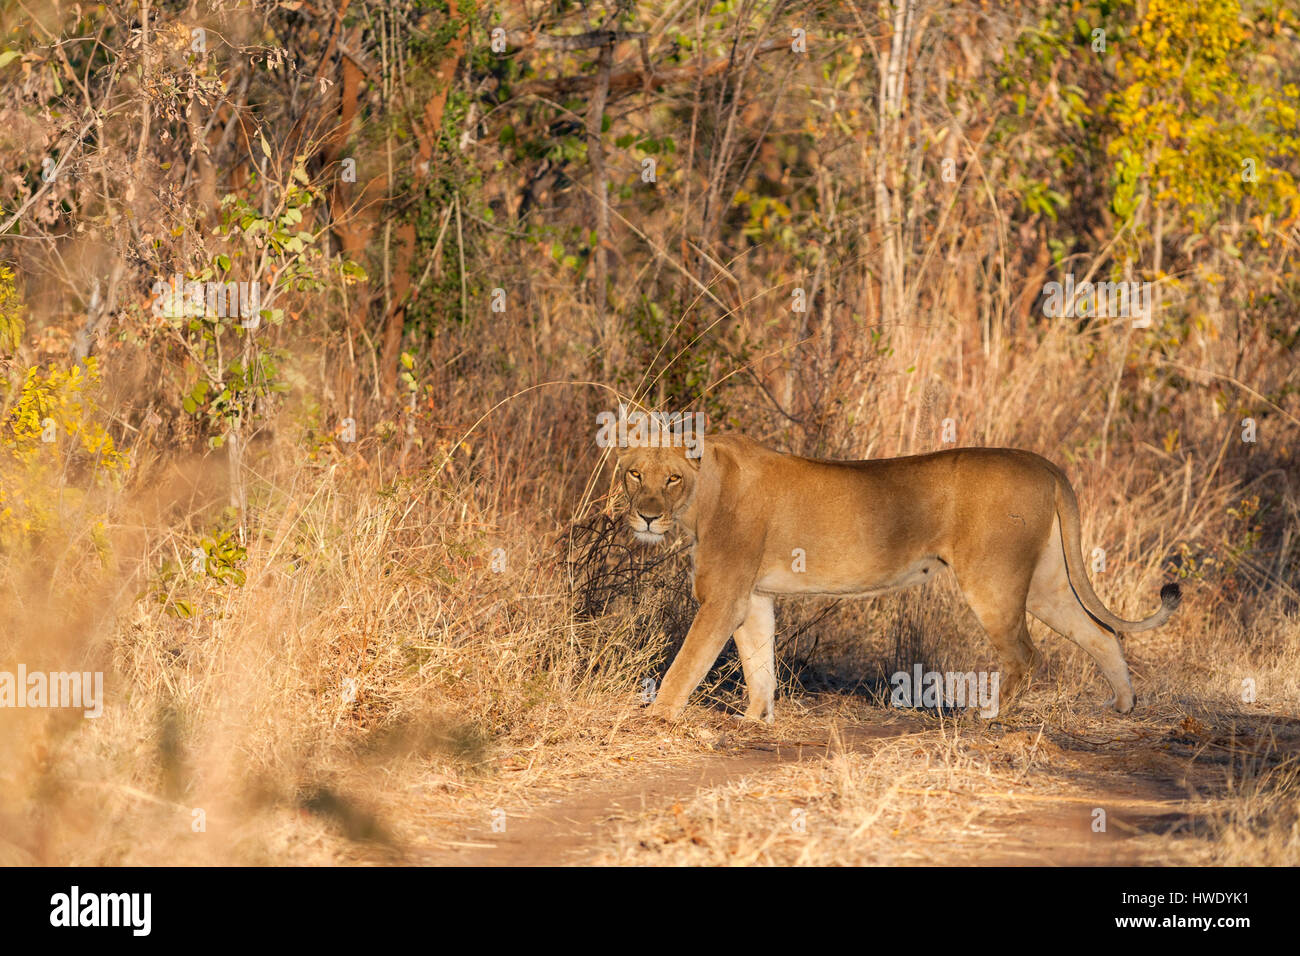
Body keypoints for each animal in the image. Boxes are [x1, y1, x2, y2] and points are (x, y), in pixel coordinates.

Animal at [617, 433, 1181, 723]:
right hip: (1046, 583)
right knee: (1101, 632)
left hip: (993, 579)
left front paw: (656, 717)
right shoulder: (753, 597)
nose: (646, 516)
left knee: (1025, 652)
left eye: (671, 478)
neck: (702, 494)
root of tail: (1041, 462)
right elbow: (760, 664)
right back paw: (1123, 706)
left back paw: (987, 715)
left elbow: (687, 663)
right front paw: (755, 718)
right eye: (633, 474)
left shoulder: (724, 596)